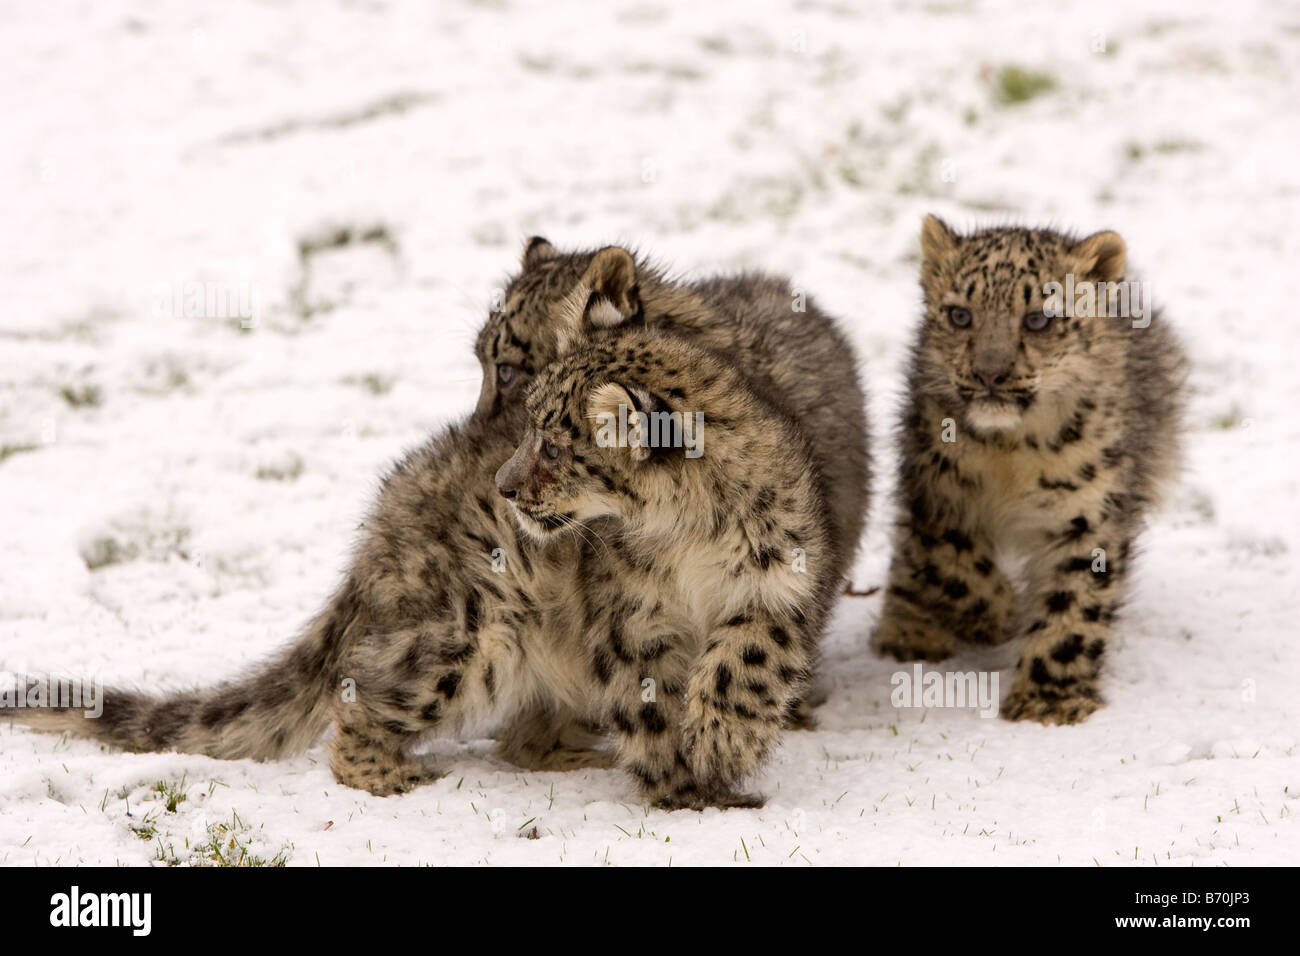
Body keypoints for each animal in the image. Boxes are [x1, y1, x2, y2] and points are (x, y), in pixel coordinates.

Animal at [871, 216, 1187, 724]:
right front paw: (1001, 615)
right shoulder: (935, 489)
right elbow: (954, 567)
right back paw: (909, 633)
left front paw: (1049, 703)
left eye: (1039, 318)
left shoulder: (1090, 515)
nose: (990, 374)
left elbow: (1074, 606)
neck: (1012, 453)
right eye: (959, 315)